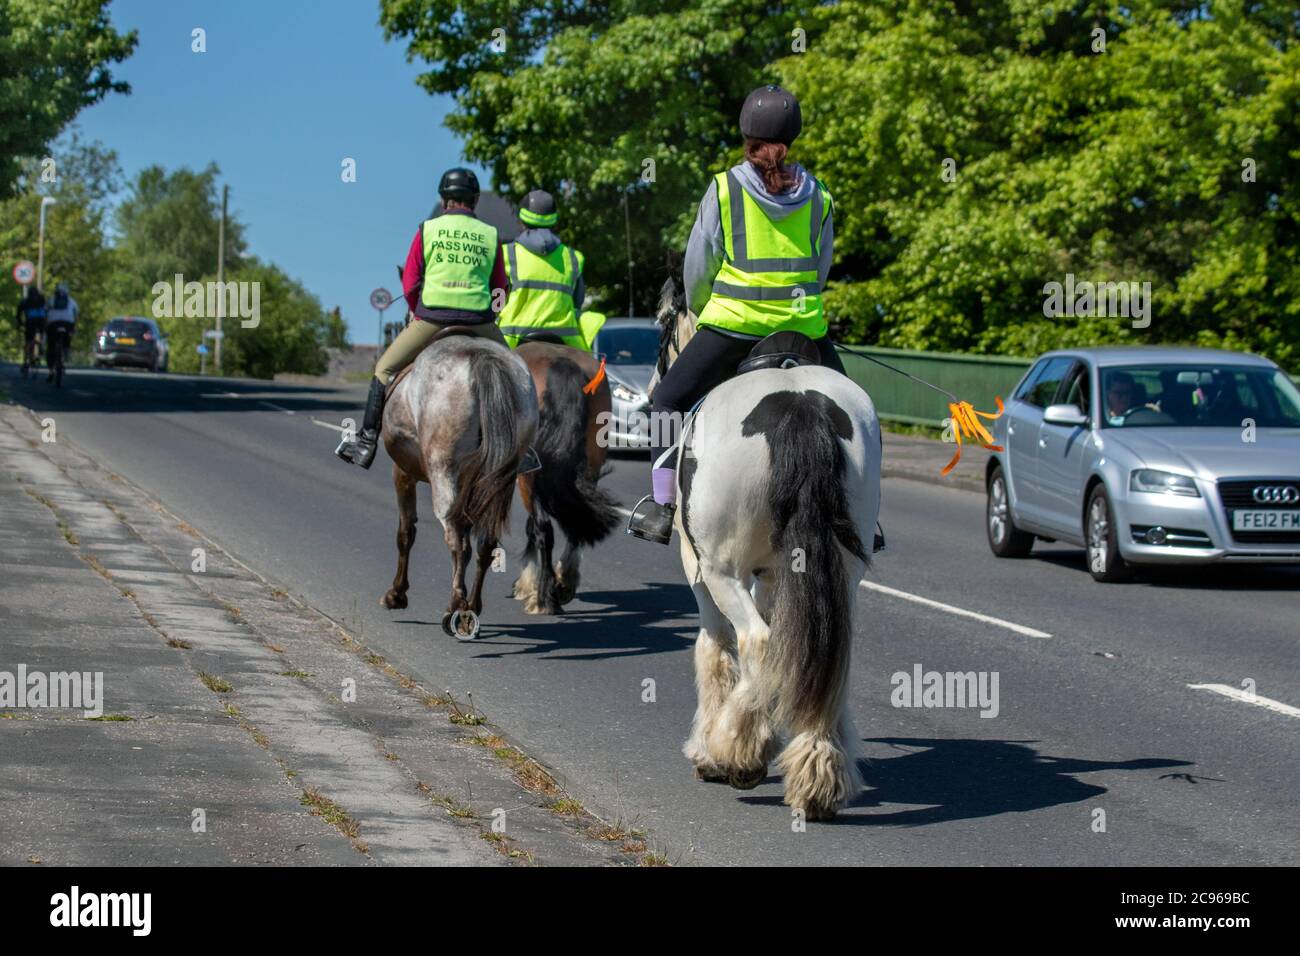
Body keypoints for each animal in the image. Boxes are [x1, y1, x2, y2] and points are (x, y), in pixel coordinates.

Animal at [380, 327, 539, 638]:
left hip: (444, 473)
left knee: (456, 541)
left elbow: (406, 533)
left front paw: (396, 594)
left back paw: (455, 610)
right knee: (486, 543)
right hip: (500, 481)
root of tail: (482, 359)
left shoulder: (402, 472)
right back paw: (472, 607)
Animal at [511, 339, 621, 614]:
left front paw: (528, 584)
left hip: (528, 476)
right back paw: (564, 583)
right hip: (589, 464)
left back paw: (544, 598)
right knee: (576, 524)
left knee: (543, 528)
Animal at [653, 275, 882, 820]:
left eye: (662, 328)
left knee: (758, 641)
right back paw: (818, 773)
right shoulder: (777, 573)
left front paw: (709, 748)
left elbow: (715, 647)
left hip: (722, 569)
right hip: (842, 570)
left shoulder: (700, 570)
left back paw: (736, 751)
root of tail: (801, 406)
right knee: (828, 649)